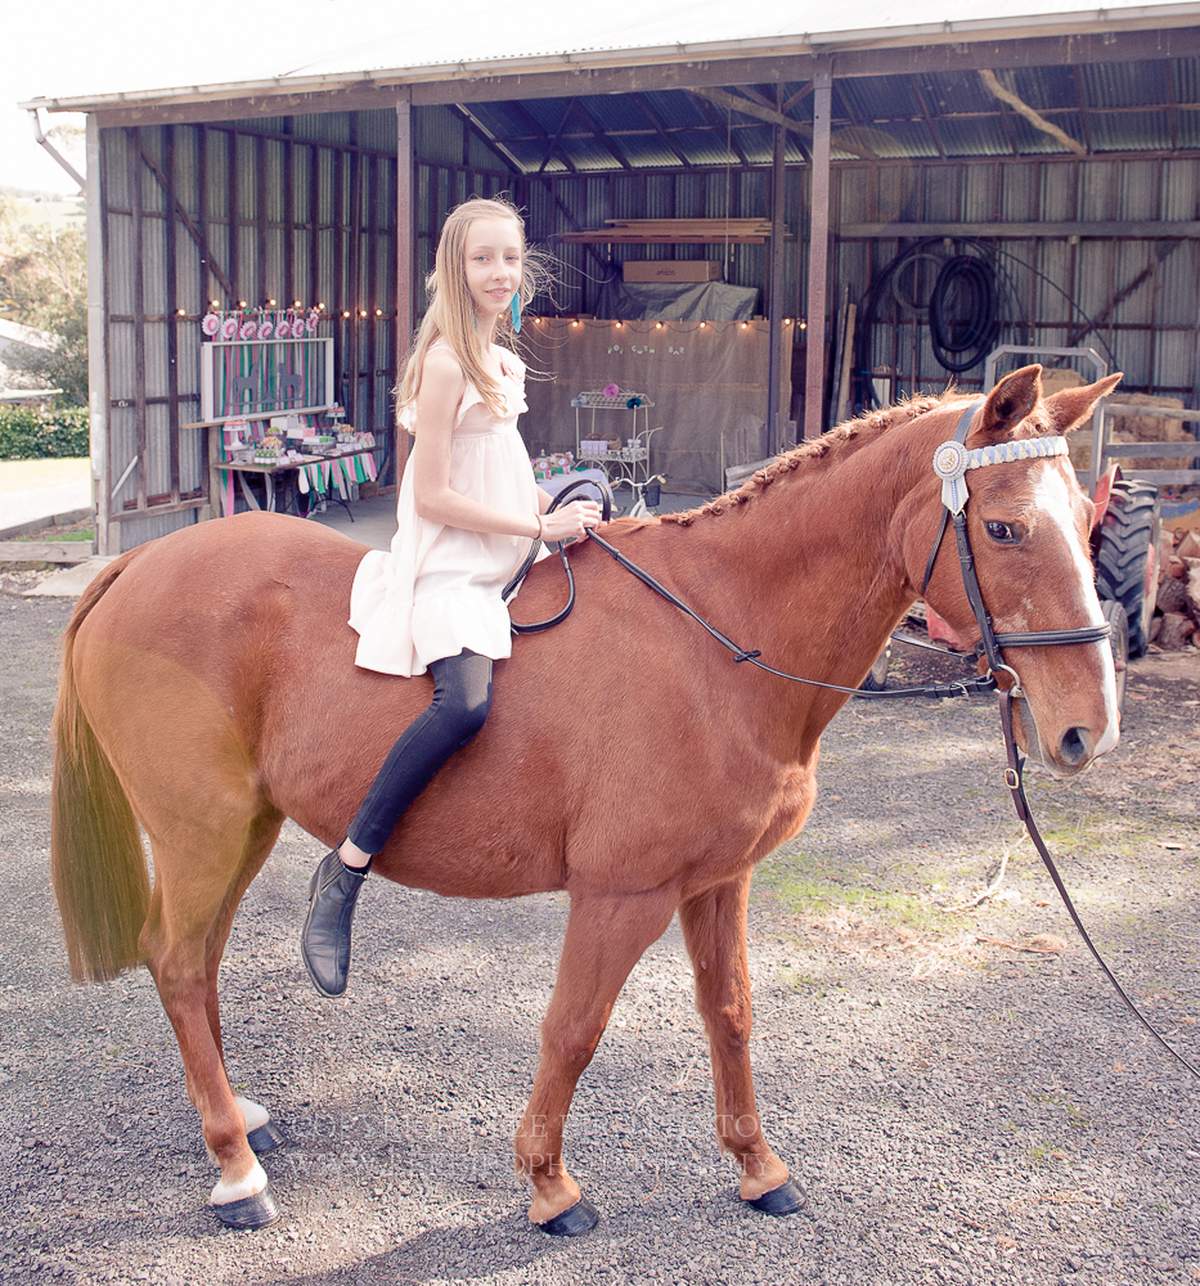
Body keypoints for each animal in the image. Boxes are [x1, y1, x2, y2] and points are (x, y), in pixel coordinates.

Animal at [49, 365, 1122, 1234]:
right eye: (1003, 529)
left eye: (1090, 522)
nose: (1087, 731)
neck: (718, 638)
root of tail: (136, 563)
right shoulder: (620, 895)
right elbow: (573, 1028)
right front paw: (549, 1187)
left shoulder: (717, 882)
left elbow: (730, 1013)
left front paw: (759, 1170)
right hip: (203, 831)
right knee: (177, 962)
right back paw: (236, 1171)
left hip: (241, 830)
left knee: (197, 963)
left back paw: (238, 1125)